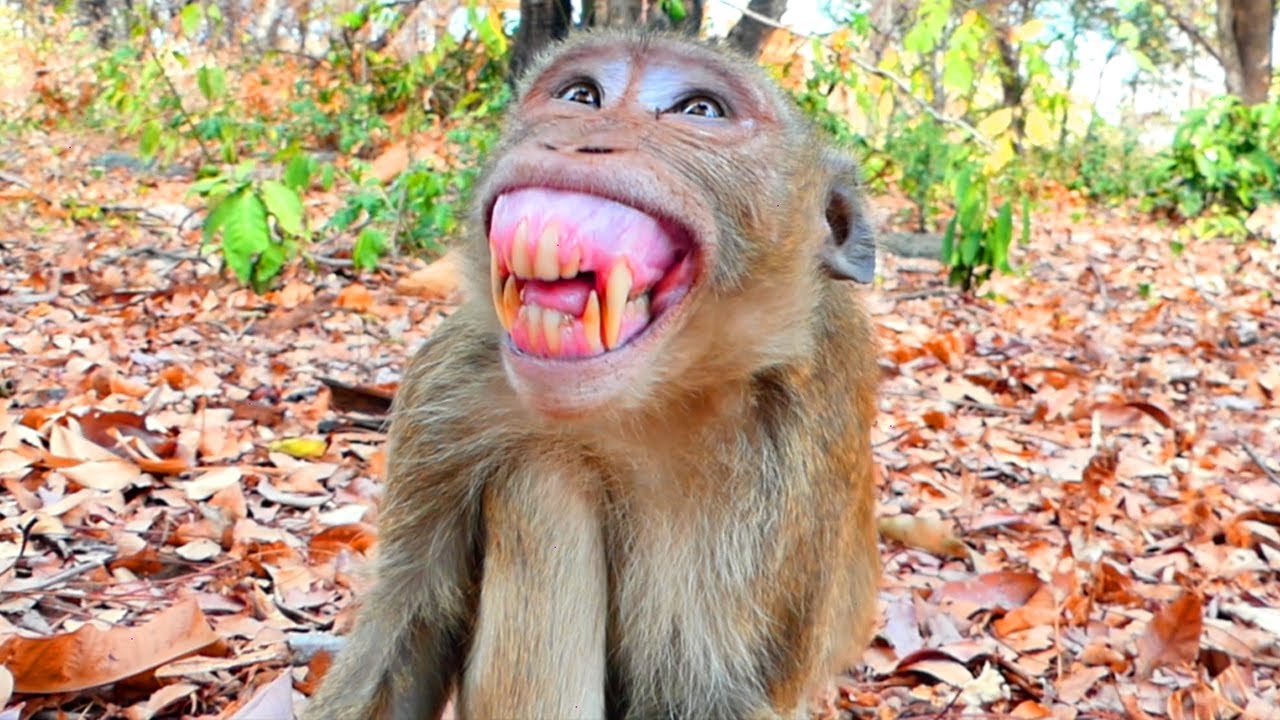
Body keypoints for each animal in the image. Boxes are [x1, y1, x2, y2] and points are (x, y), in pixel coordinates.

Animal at [304, 30, 880, 720]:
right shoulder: (449, 389)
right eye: (581, 96)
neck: (646, 398)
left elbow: (709, 692)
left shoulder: (791, 459)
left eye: (700, 110)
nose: (585, 139)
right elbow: (407, 630)